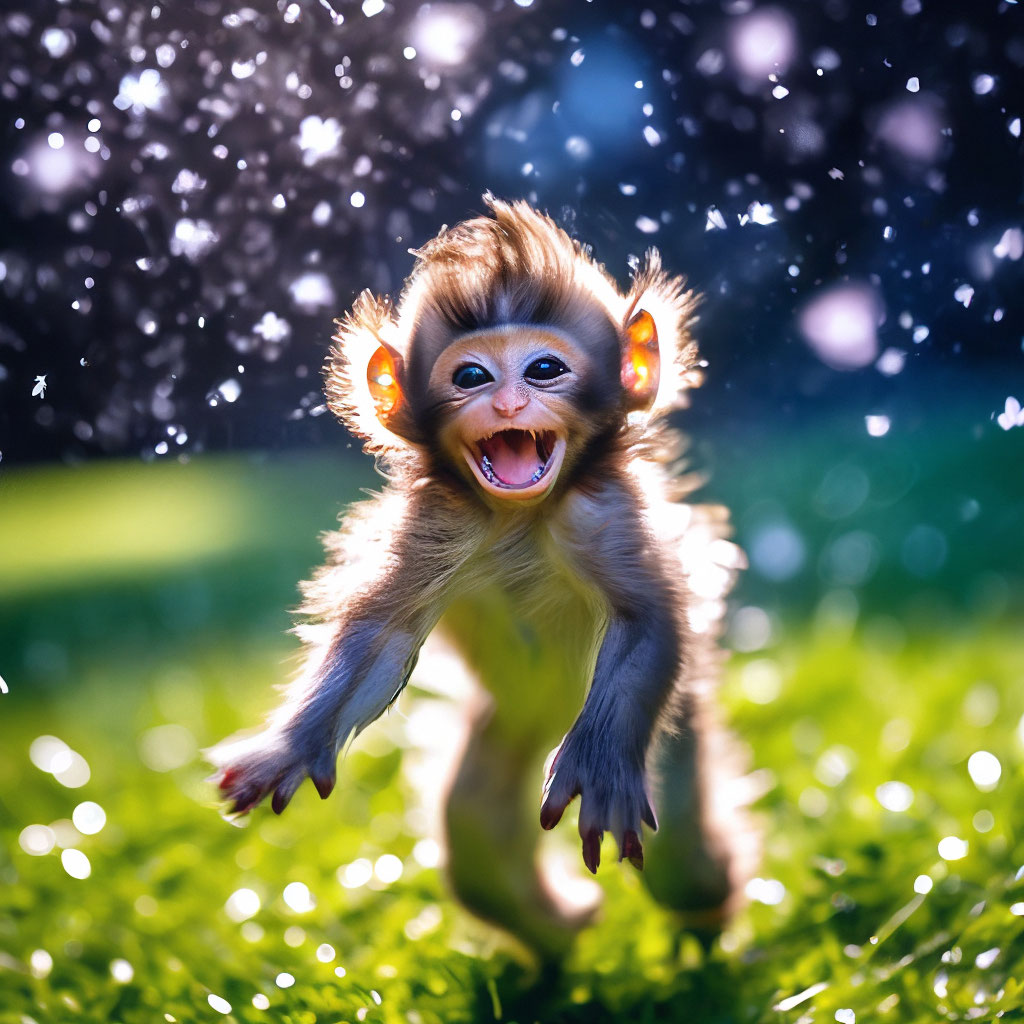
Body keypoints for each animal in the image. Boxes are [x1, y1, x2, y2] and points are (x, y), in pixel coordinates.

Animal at [210, 196, 751, 958]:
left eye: (544, 368)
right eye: (471, 378)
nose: (507, 407)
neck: (521, 518)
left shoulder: (602, 512)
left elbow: (648, 620)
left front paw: (600, 764)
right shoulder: (438, 521)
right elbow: (379, 637)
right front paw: (290, 749)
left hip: (676, 731)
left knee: (685, 865)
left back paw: (704, 923)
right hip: (508, 725)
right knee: (476, 840)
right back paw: (557, 929)